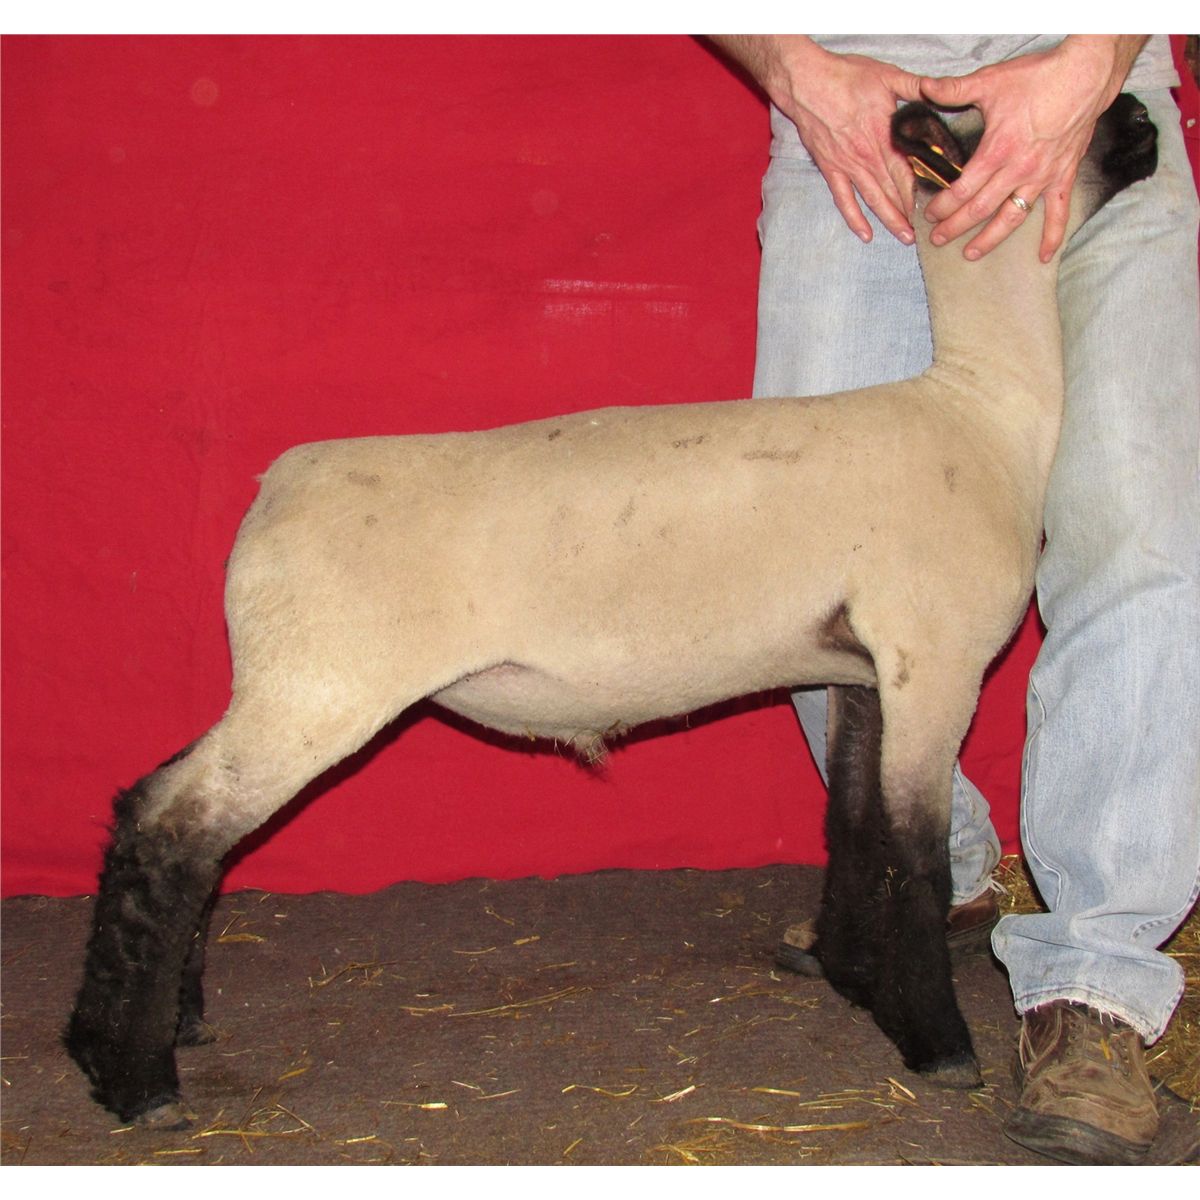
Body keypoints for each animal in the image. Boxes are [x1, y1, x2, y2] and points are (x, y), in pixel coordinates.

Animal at [65, 97, 1159, 1130]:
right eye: (1025, 122)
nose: (1147, 117)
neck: (984, 409)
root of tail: (272, 492)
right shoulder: (933, 660)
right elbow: (914, 858)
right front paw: (939, 1044)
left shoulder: (860, 675)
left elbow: (852, 825)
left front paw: (848, 973)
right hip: (322, 685)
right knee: (177, 829)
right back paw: (137, 1078)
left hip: (285, 681)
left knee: (155, 807)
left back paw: (131, 1033)